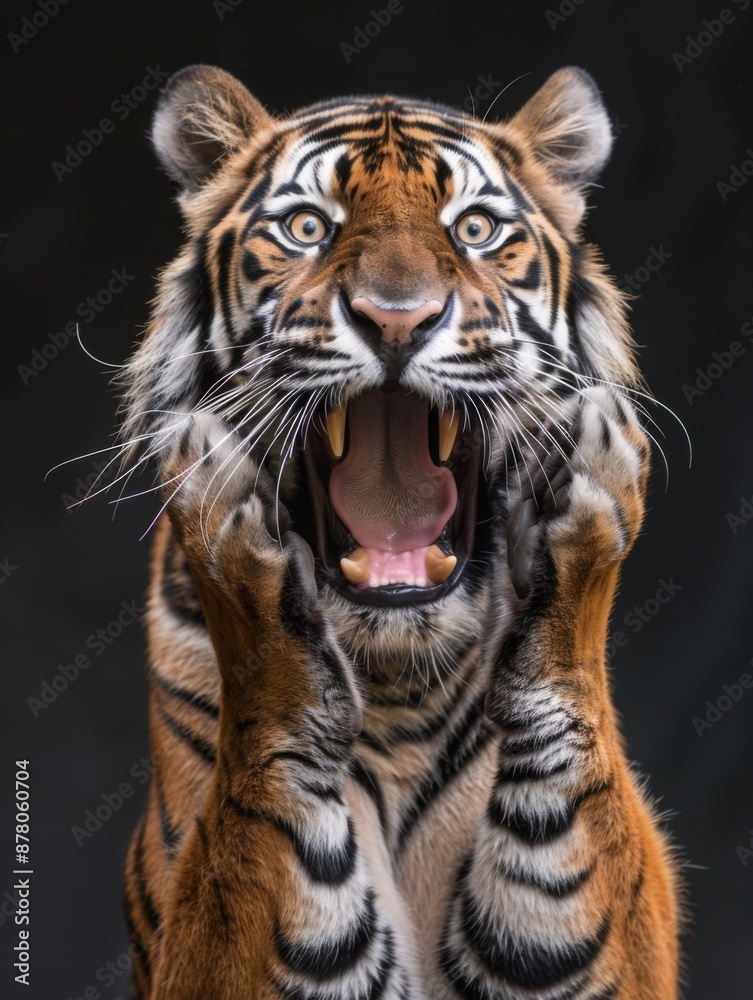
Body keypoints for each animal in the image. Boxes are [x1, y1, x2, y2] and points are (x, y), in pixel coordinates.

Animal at [114, 63, 682, 998]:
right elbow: (271, 746)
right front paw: (222, 524)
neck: (394, 684)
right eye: (307, 228)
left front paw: (590, 503)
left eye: (476, 229)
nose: (396, 318)